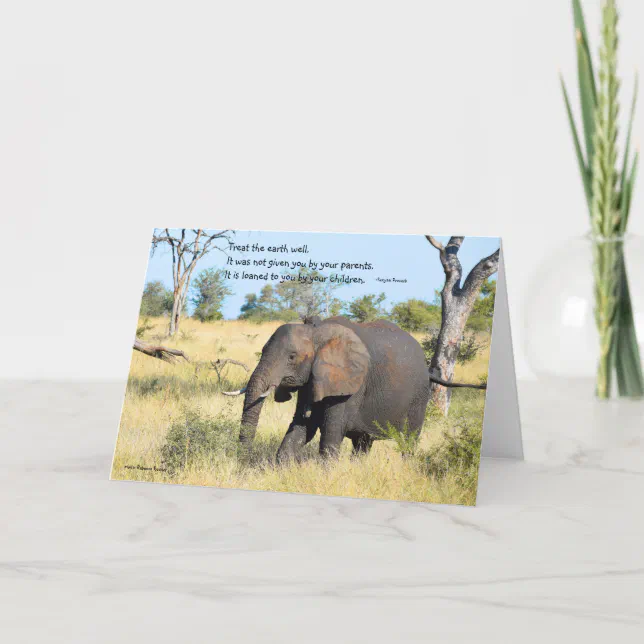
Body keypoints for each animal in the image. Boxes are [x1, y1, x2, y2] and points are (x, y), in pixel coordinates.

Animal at [224, 315, 485, 463]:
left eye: (291, 357)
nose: (243, 463)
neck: (318, 332)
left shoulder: (351, 384)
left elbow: (330, 435)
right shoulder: (313, 379)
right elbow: (301, 429)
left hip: (420, 398)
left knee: (408, 442)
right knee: (363, 444)